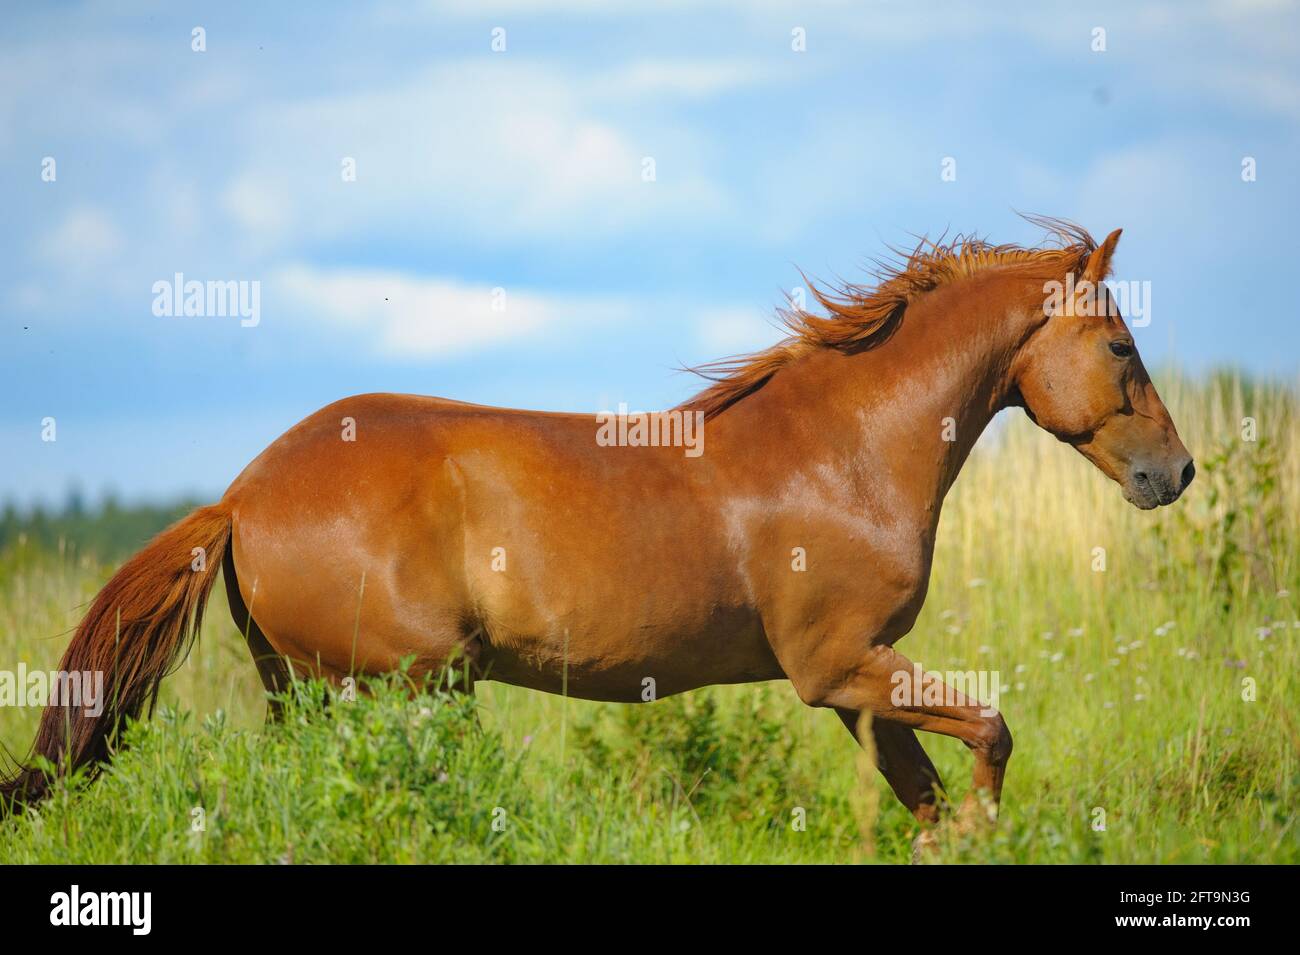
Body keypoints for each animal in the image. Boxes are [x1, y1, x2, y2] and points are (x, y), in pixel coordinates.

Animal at [2, 220, 1194, 845]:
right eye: (1122, 345)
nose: (1174, 472)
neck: (846, 450)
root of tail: (241, 495)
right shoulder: (839, 664)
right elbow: (989, 732)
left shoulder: (860, 680)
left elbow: (927, 796)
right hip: (402, 688)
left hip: (311, 689)